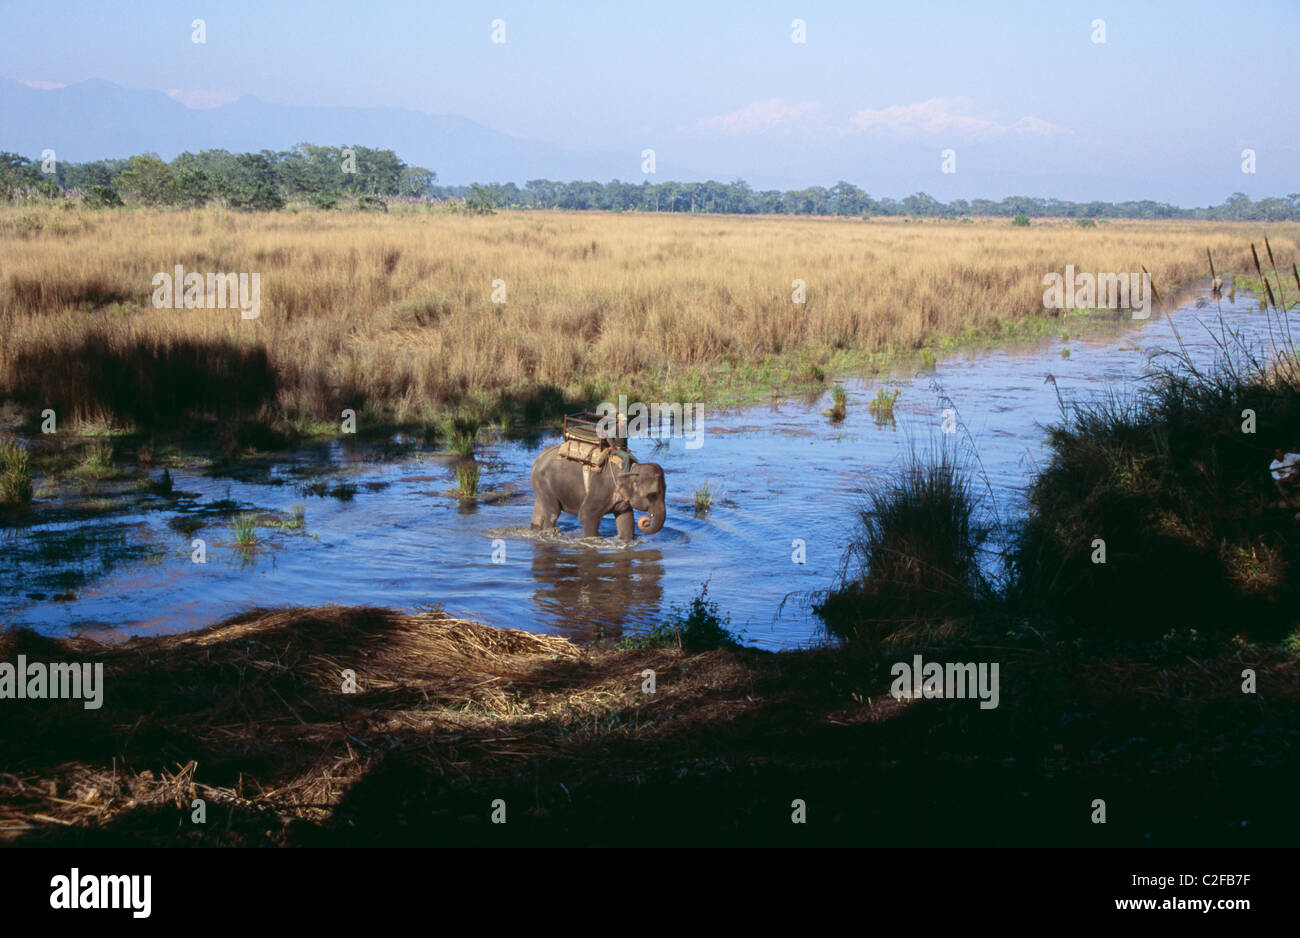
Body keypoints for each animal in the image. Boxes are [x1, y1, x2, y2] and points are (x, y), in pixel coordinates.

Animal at [529, 444, 667, 541]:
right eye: (652, 495)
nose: (646, 521)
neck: (632, 469)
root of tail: (538, 458)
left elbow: (626, 519)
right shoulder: (601, 488)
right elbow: (586, 515)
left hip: (541, 485)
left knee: (539, 509)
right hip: (544, 482)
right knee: (553, 513)